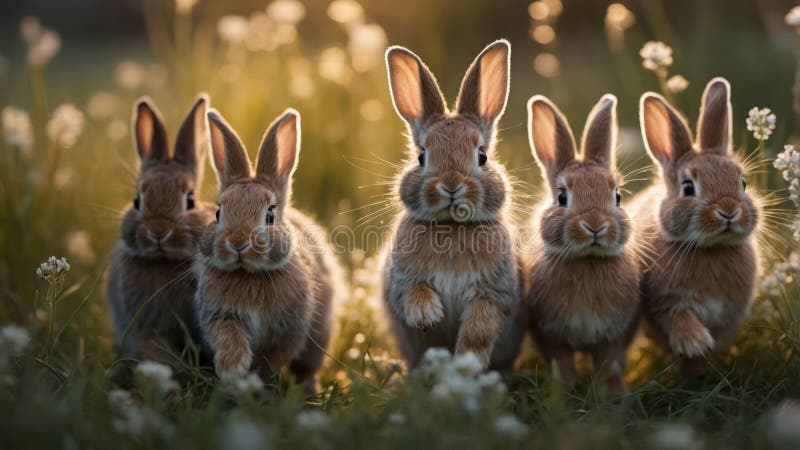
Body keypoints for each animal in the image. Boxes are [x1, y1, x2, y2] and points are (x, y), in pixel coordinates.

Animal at [194, 107, 337, 390]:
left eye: (270, 215)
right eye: (218, 212)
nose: (238, 242)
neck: (249, 273)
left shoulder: (289, 331)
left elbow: (273, 360)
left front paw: (256, 382)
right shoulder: (221, 316)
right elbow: (229, 338)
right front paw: (233, 369)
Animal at [381, 39, 524, 371]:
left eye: (482, 156)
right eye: (421, 156)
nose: (451, 186)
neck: (452, 227)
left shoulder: (496, 294)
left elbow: (480, 325)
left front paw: (468, 361)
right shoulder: (402, 283)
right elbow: (413, 292)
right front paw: (427, 315)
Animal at [524, 94, 640, 394]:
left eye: (617, 196)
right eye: (562, 197)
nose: (595, 225)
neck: (587, 261)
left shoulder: (614, 337)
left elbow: (607, 366)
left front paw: (612, 394)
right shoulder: (551, 335)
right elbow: (563, 365)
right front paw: (561, 392)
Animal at [632, 77, 759, 377]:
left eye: (742, 183)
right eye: (688, 187)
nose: (729, 211)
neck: (711, 250)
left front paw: (701, 367)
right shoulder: (664, 303)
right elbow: (678, 317)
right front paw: (695, 343)